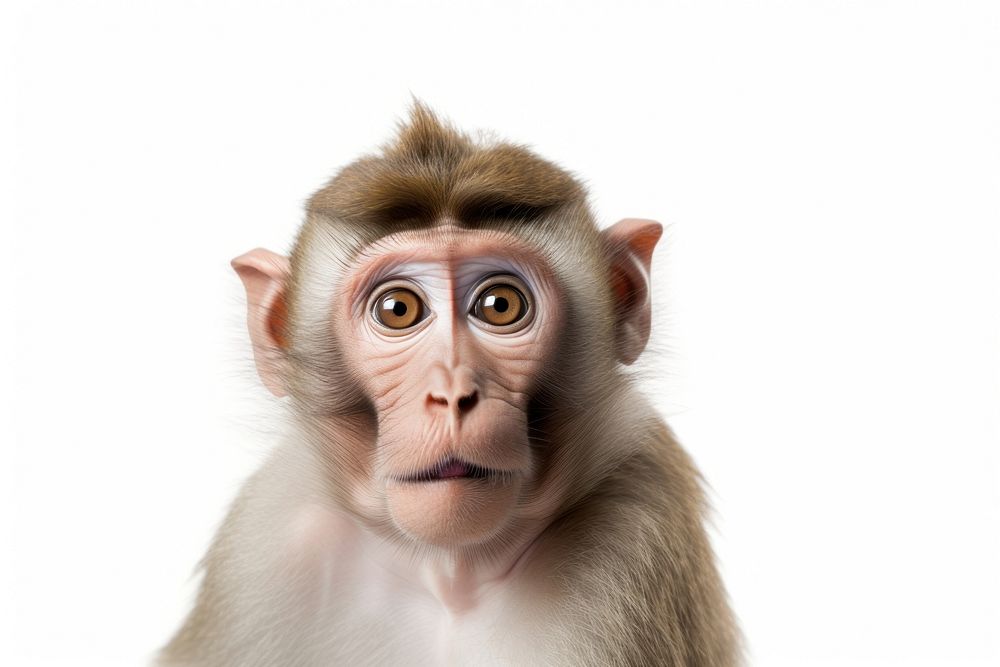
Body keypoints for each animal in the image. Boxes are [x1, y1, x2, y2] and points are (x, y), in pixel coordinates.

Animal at [159, 104, 740, 667]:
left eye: (500, 305)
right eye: (398, 309)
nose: (453, 396)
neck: (453, 576)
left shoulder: (634, 537)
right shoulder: (262, 547)